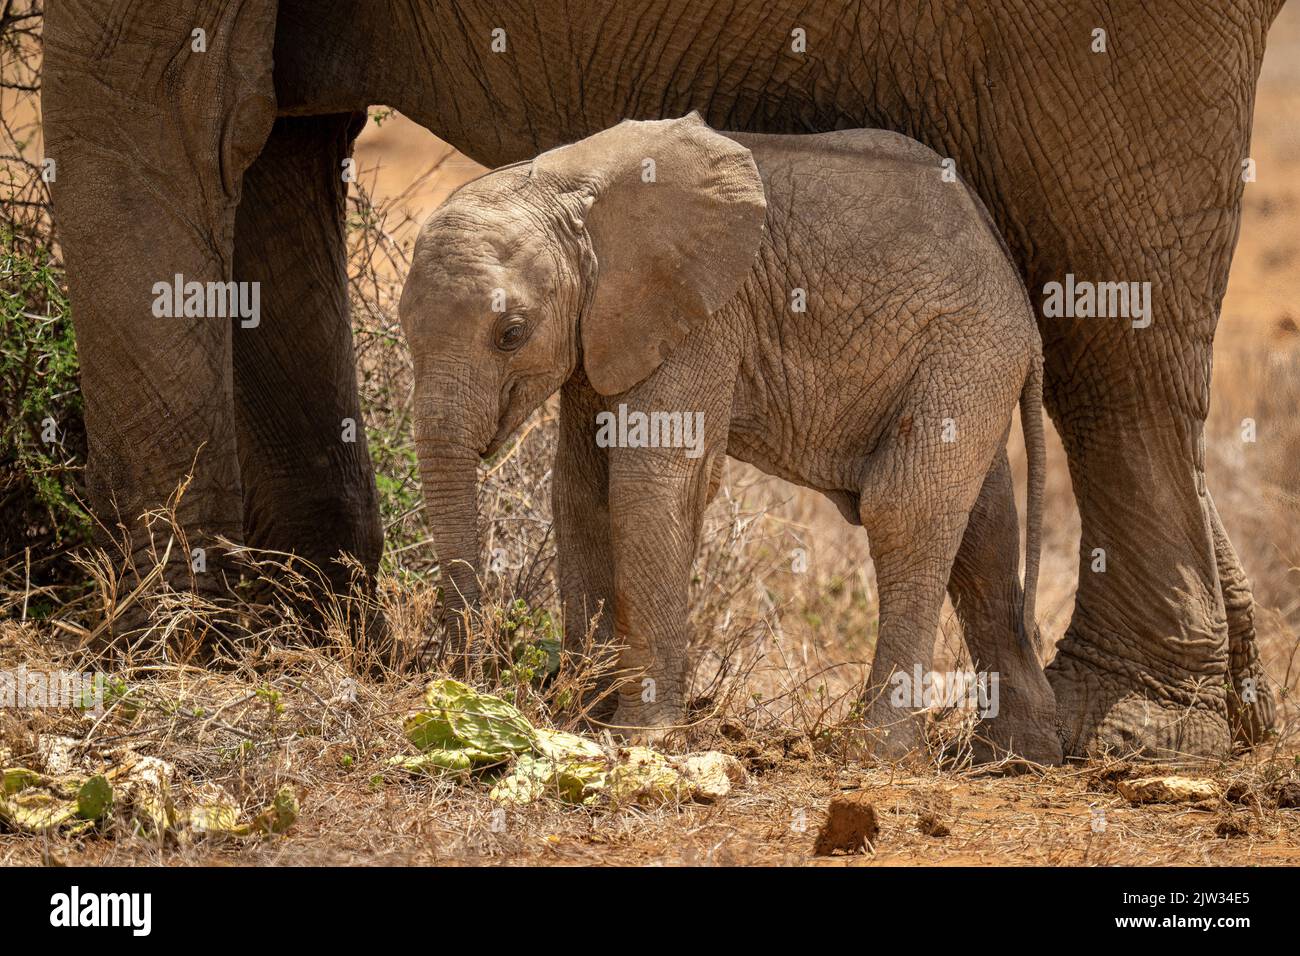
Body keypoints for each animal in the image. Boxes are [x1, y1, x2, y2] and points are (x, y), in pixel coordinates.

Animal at [398, 114, 1053, 758]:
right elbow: (579, 490)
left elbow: (651, 483)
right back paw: (1017, 753)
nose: (469, 680)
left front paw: (640, 738)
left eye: (511, 333)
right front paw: (578, 719)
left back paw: (879, 752)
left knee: (906, 510)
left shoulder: (701, 314)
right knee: (984, 527)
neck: (563, 189)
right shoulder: (603, 330)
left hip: (967, 347)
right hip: (970, 361)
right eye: (404, 332)